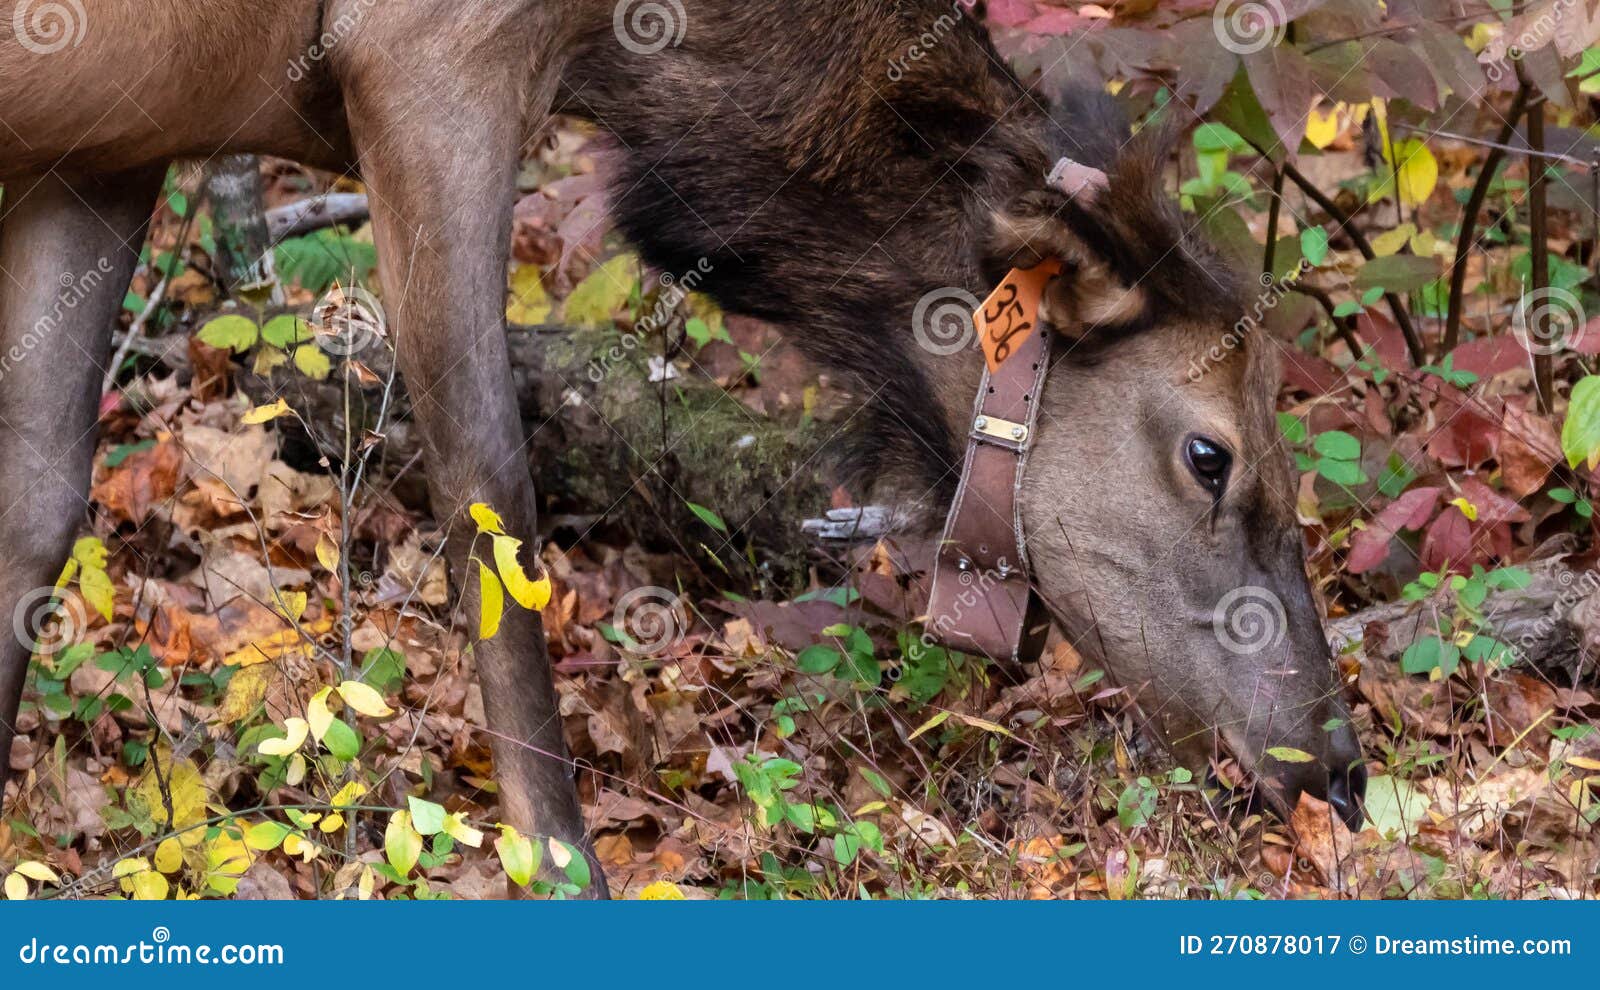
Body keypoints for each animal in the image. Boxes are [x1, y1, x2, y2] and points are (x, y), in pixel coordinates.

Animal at [0, 0, 1365, 895]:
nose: (1335, 768)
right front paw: (562, 868)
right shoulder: (419, 59)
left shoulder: (103, 143)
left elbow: (37, 508)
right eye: (1210, 455)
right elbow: (490, 493)